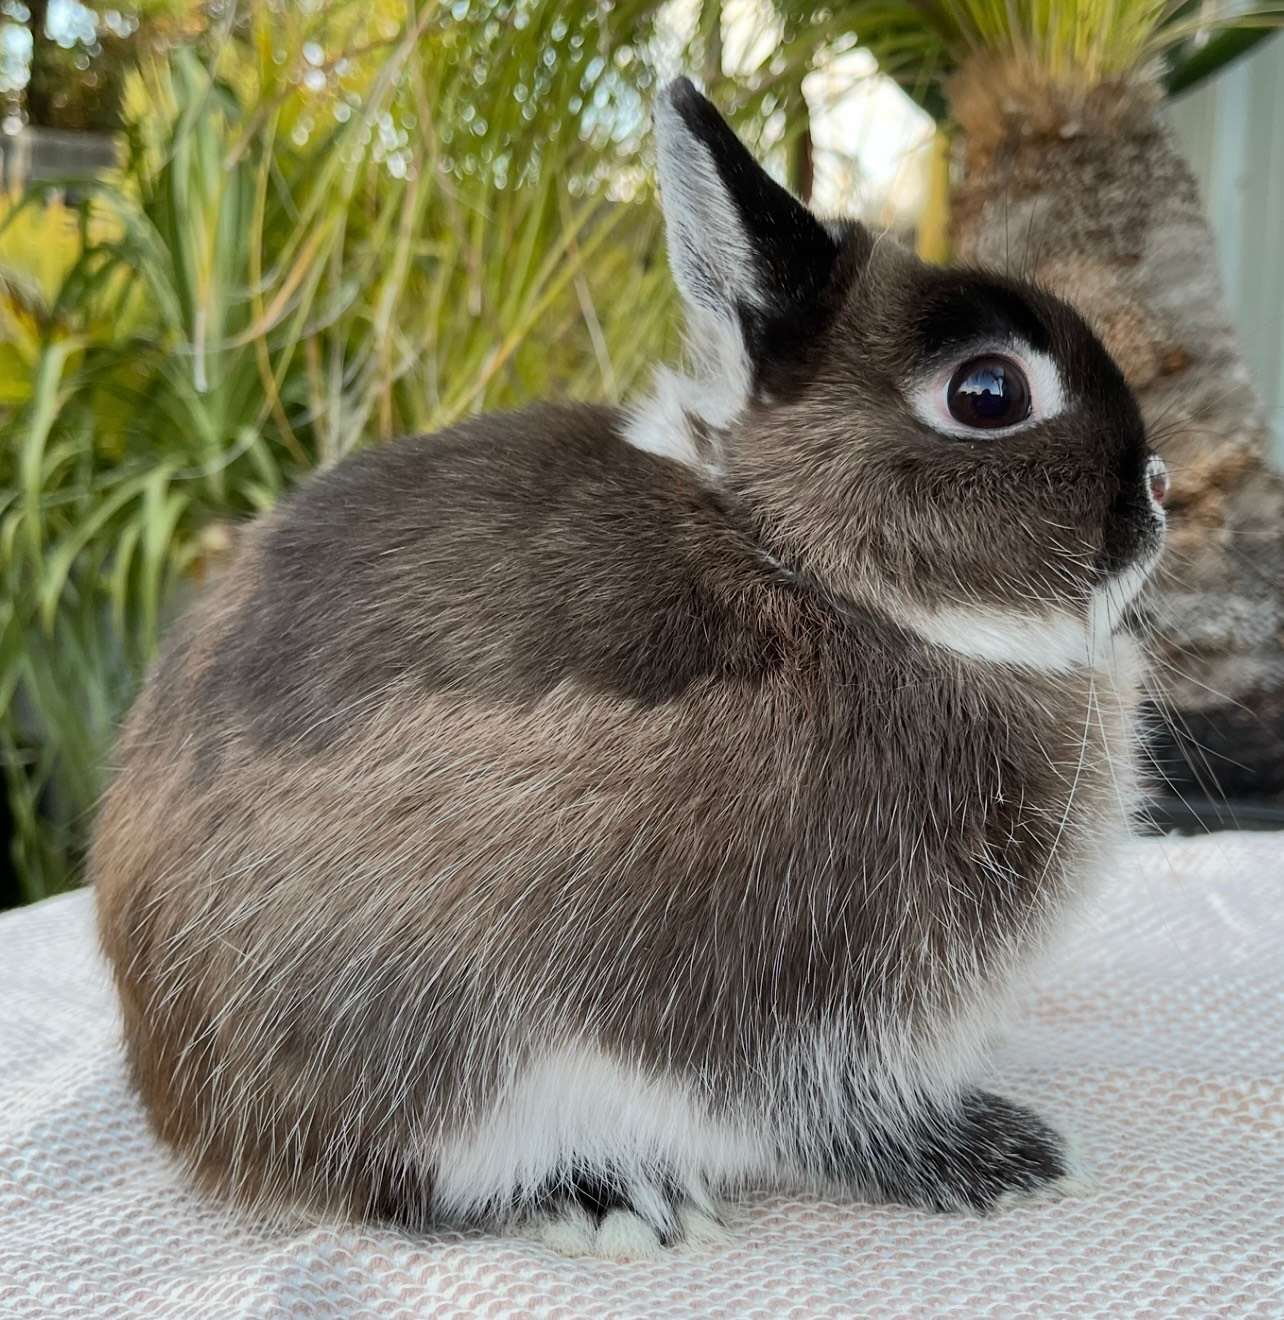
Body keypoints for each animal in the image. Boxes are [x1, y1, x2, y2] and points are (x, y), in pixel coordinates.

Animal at [93, 77, 1167, 1260]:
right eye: (987, 393)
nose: (1160, 491)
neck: (809, 571)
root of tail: (185, 1112)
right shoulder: (775, 992)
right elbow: (824, 1108)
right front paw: (992, 1160)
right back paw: (601, 1194)